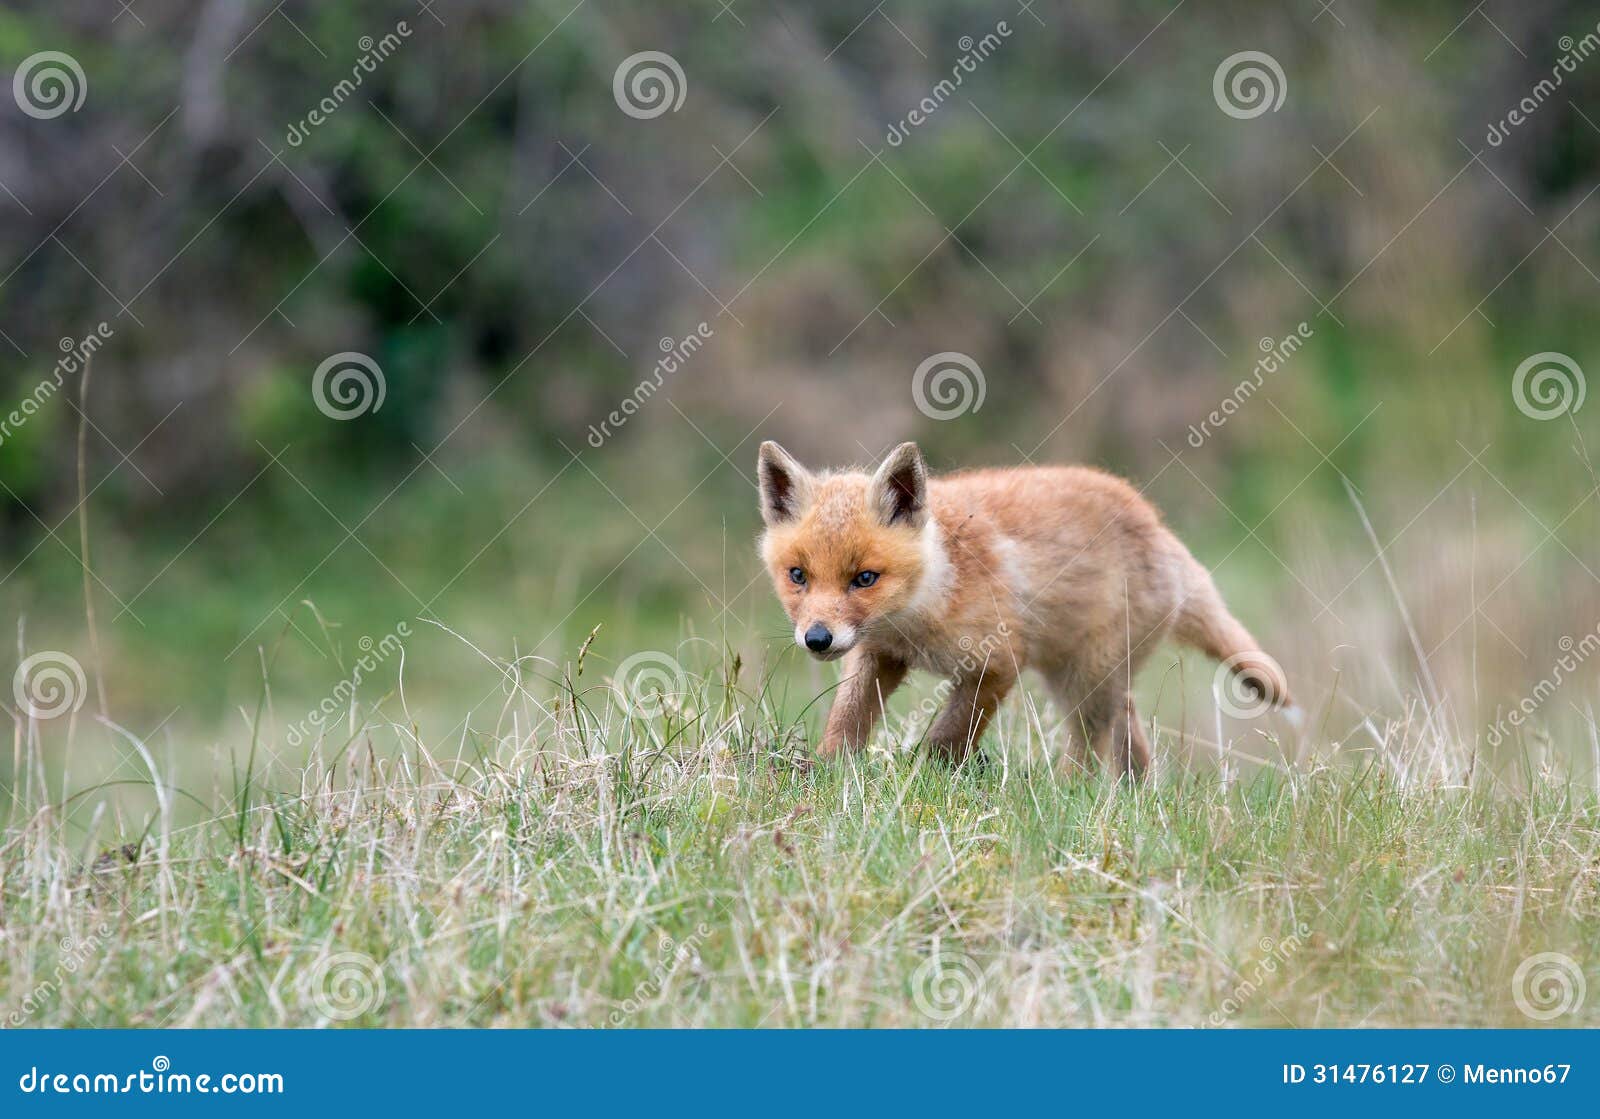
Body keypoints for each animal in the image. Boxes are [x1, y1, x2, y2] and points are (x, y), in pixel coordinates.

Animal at [757, 440, 1293, 775]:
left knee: (1088, 748)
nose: (817, 639)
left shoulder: (997, 662)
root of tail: (1158, 527)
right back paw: (1134, 794)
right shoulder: (880, 654)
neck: (928, 601)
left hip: (1084, 681)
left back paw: (1067, 791)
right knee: (1129, 735)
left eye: (864, 578)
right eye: (798, 576)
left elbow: (949, 736)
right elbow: (847, 718)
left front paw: (925, 776)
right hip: (1083, 677)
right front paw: (827, 767)